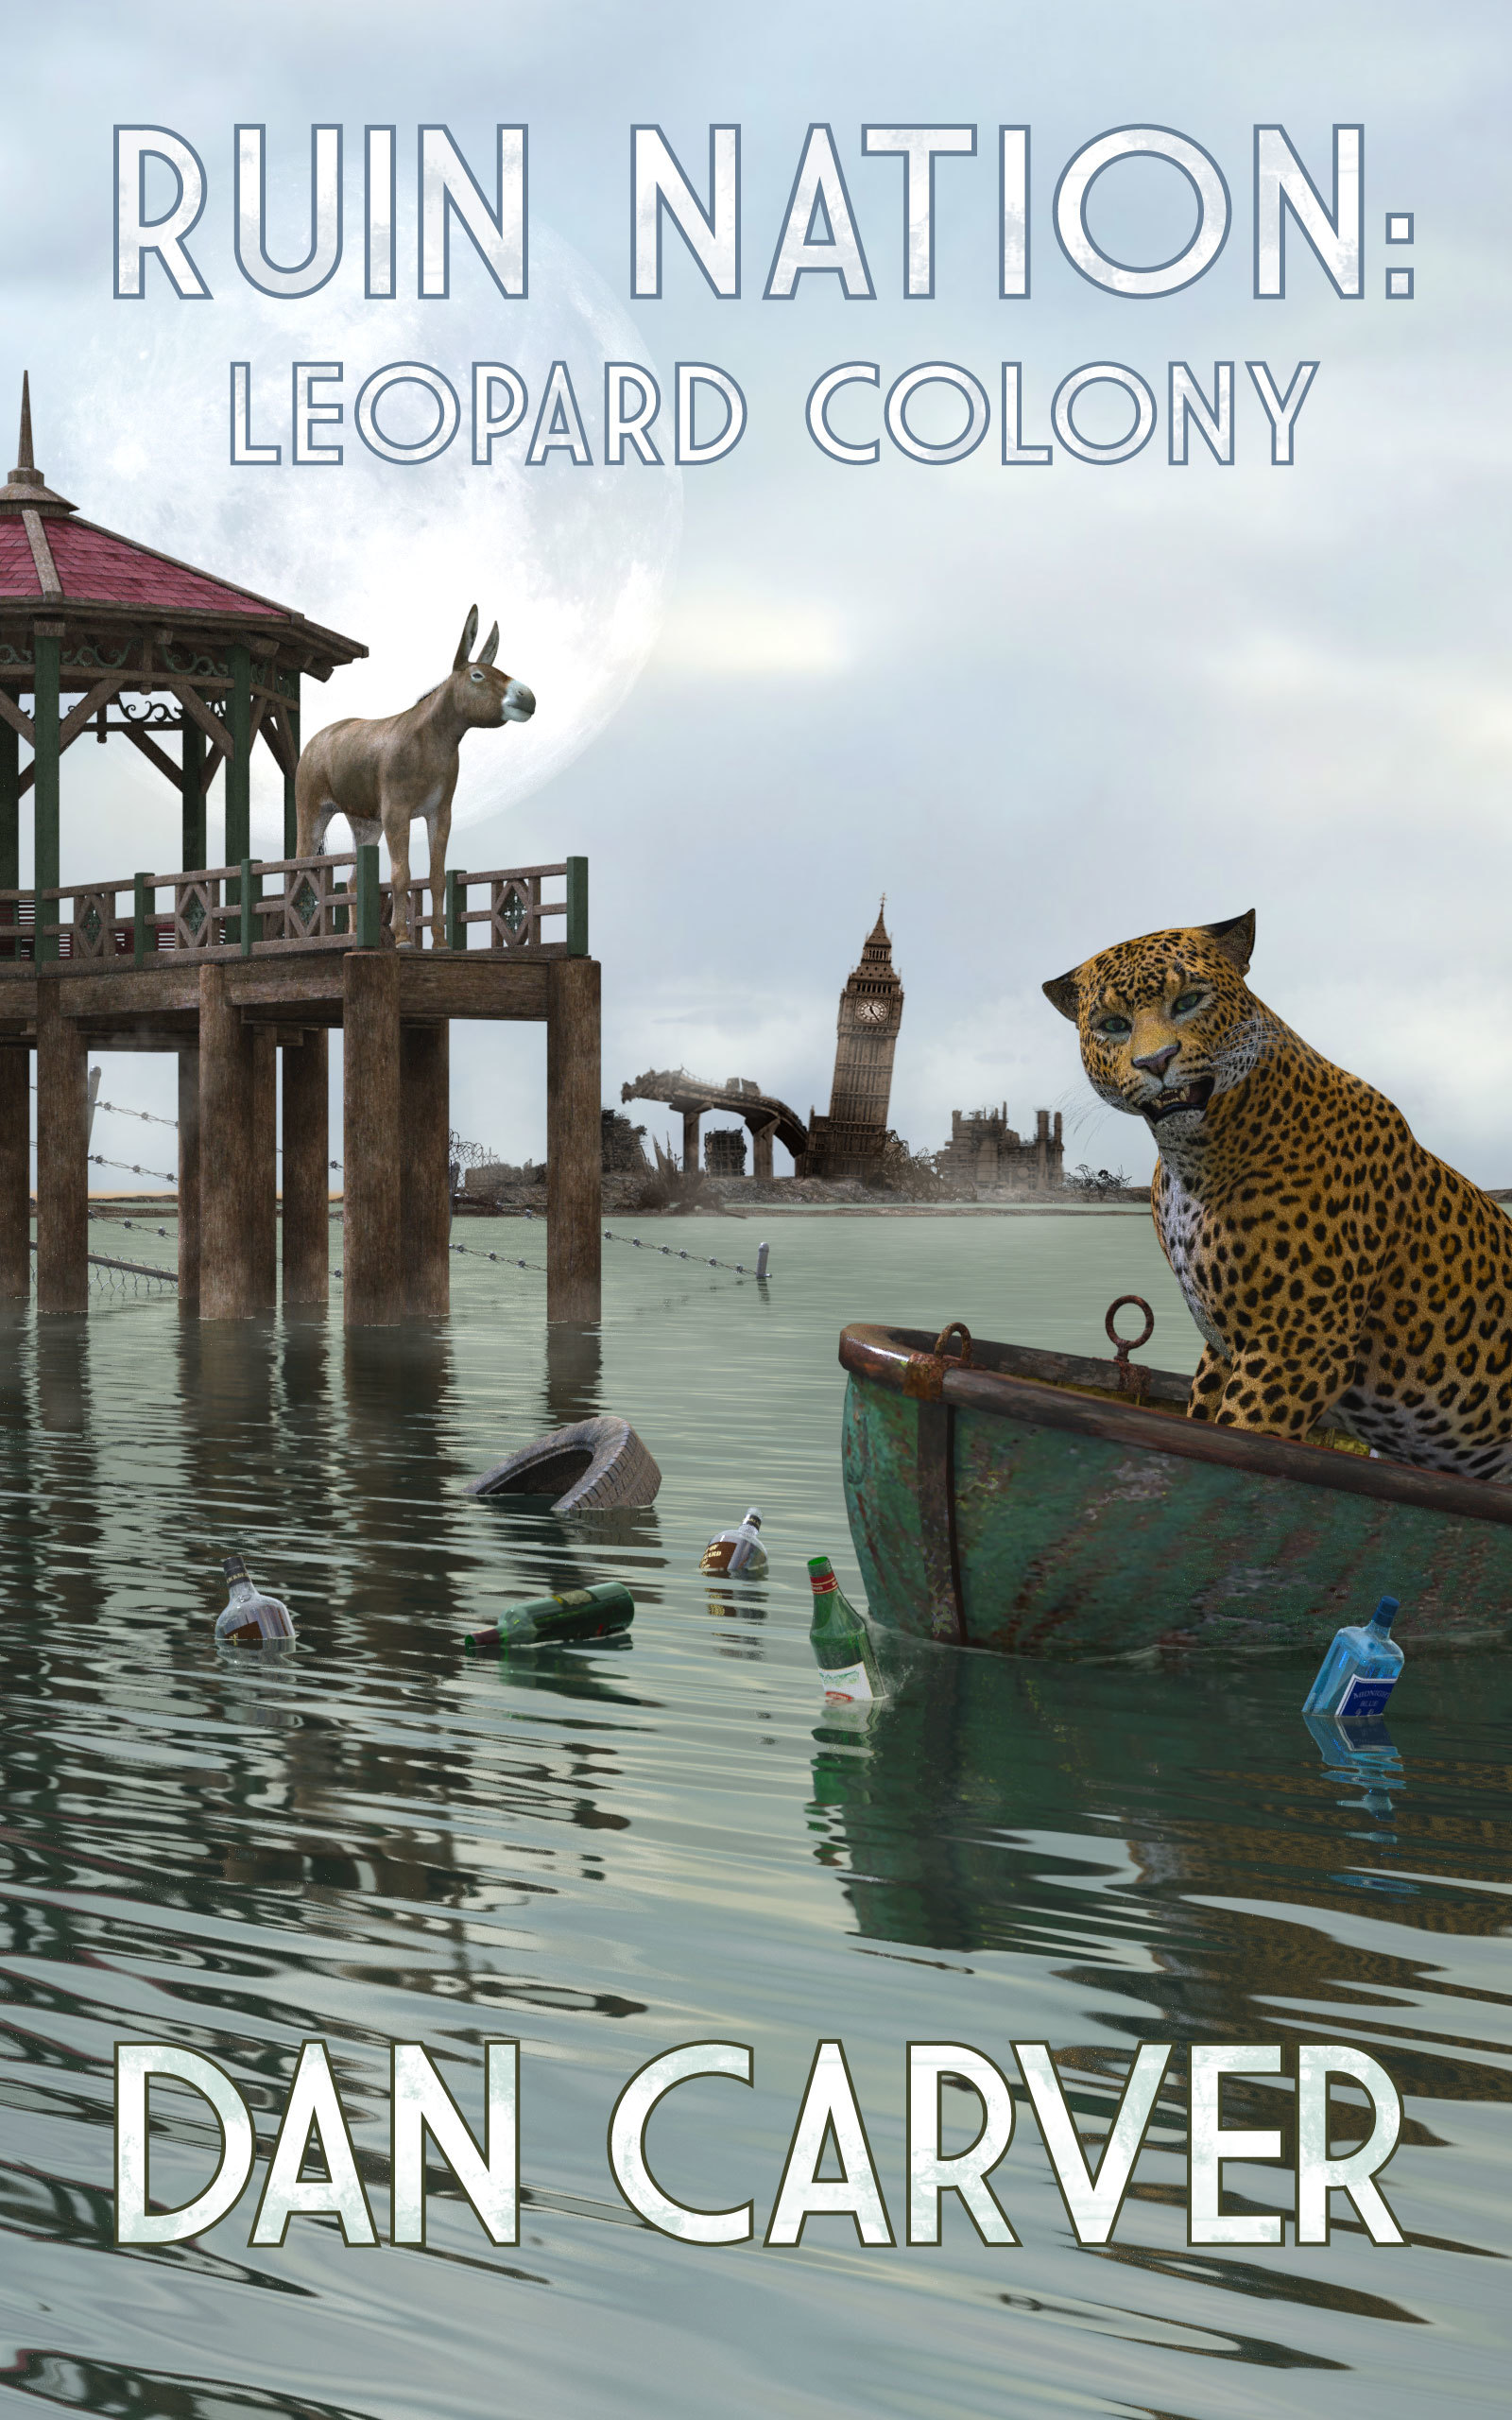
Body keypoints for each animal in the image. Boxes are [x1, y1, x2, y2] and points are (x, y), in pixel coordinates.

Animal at [1043, 910, 1512, 1482]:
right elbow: (1206, 1415)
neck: (1191, 1159)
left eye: (1188, 1001)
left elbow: (1244, 1443)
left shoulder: (1299, 1345)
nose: (1156, 1061)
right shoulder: (1225, 1345)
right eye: (1113, 1025)